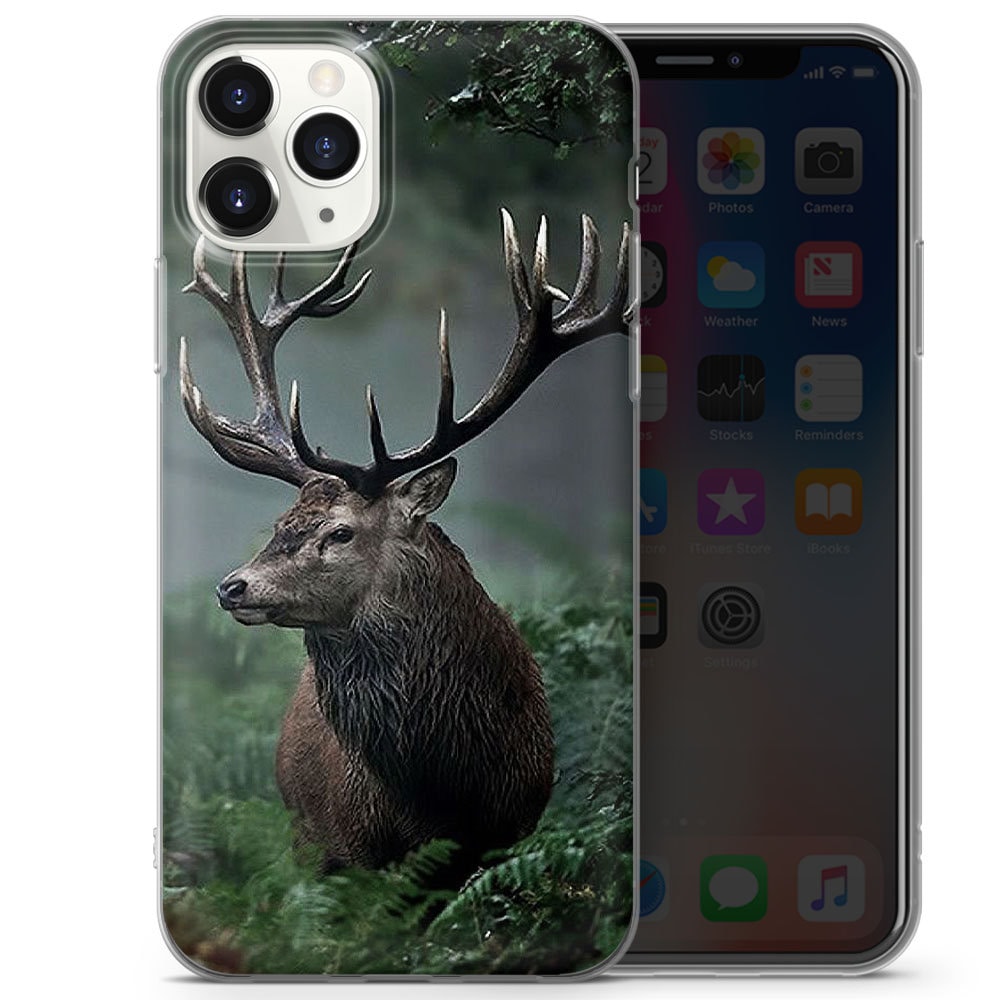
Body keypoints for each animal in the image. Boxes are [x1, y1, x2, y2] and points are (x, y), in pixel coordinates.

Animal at [178, 209, 631, 872]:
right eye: (281, 523)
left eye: (340, 532)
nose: (232, 587)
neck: (438, 794)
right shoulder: (349, 847)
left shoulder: (509, 832)